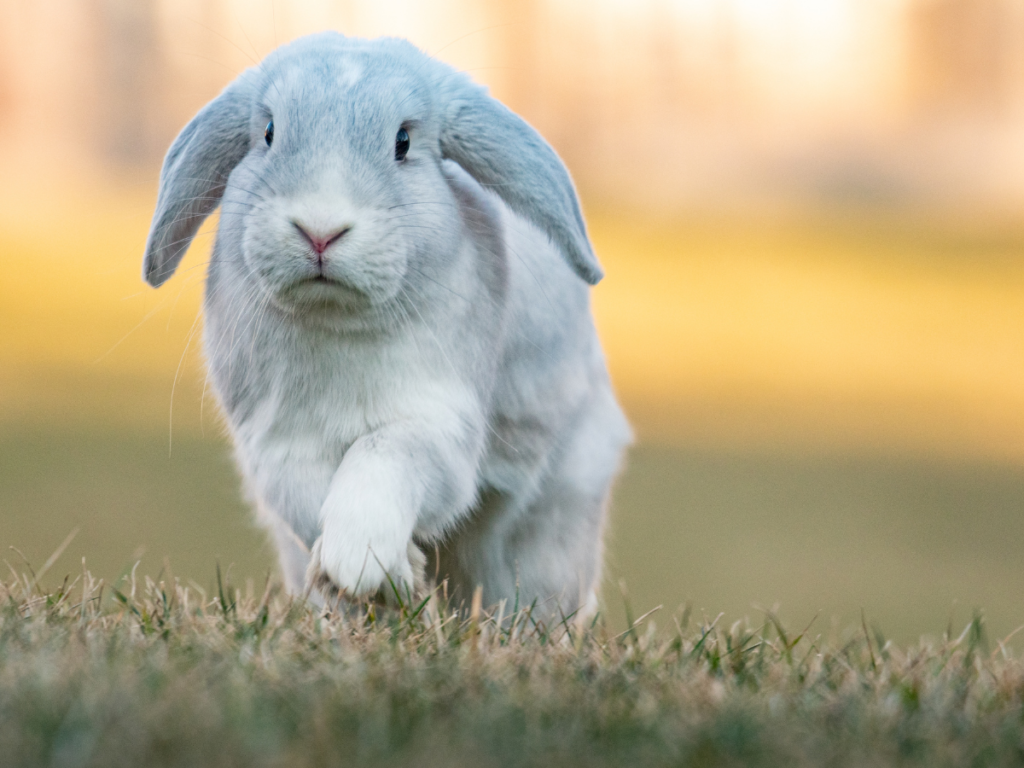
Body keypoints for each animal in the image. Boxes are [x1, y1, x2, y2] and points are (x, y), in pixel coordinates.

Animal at [142, 32, 631, 619]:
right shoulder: (279, 443)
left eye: (402, 142)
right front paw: (392, 576)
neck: (336, 319)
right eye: (269, 134)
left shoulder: (438, 427)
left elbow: (384, 459)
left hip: (551, 523)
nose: (321, 230)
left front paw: (364, 561)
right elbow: (309, 498)